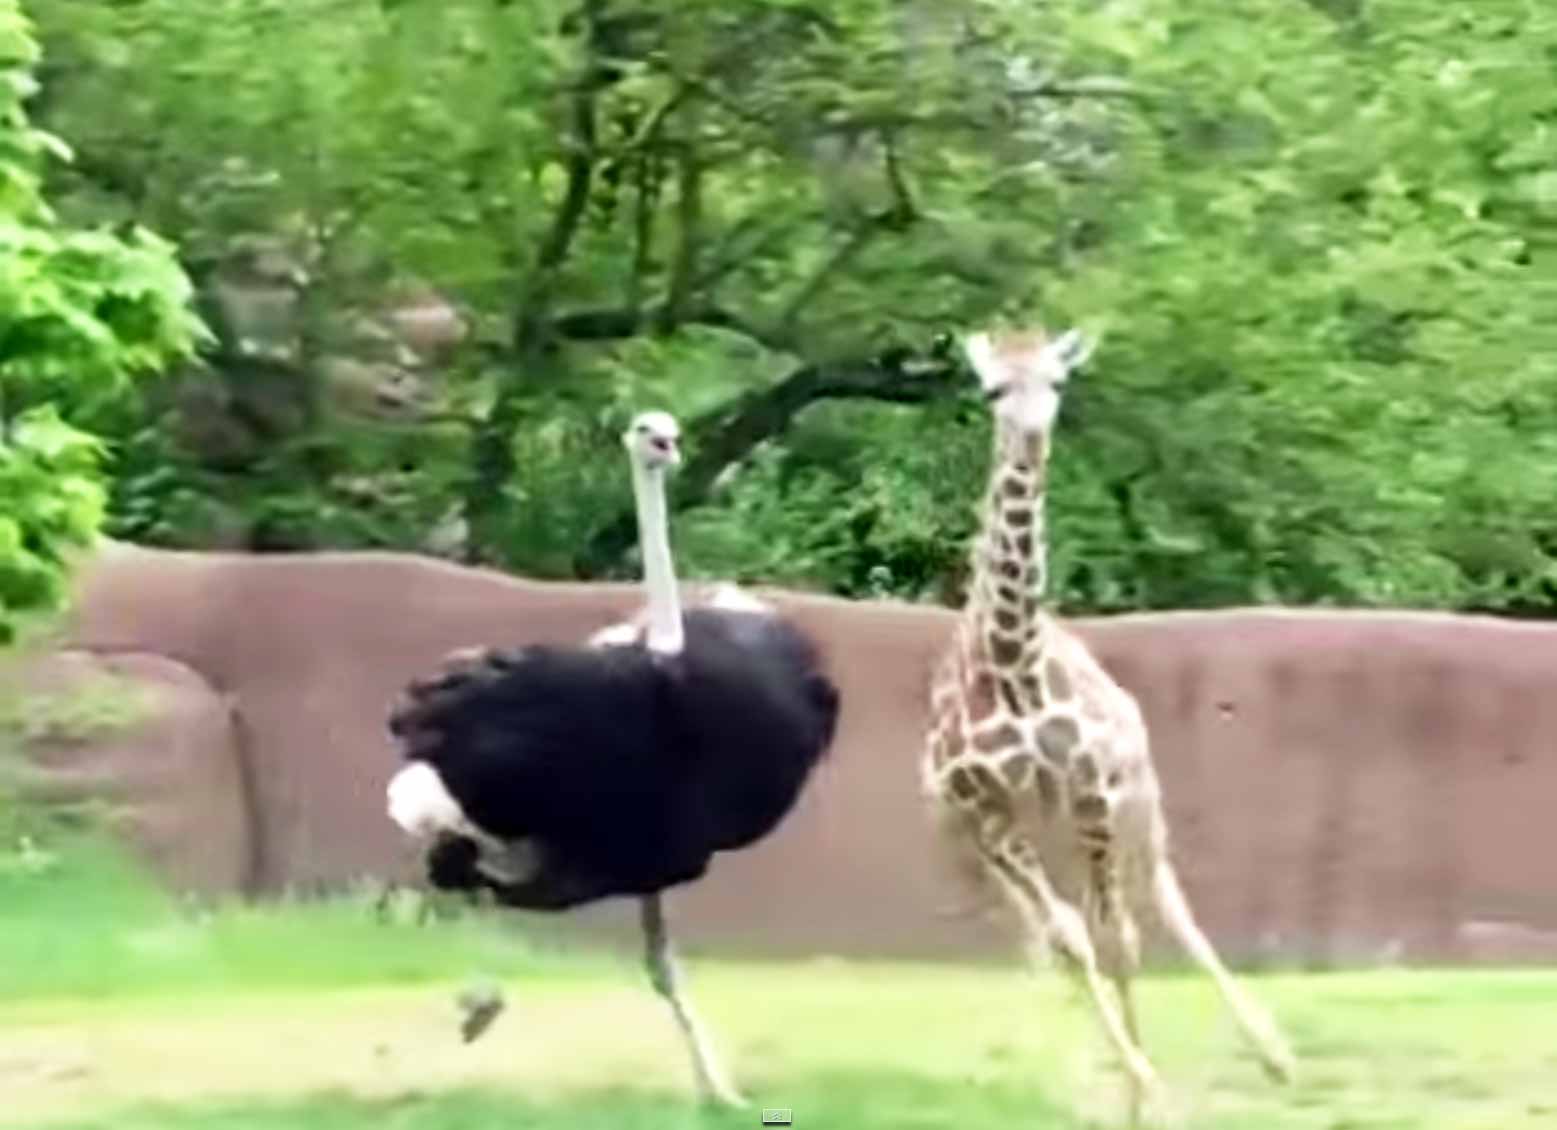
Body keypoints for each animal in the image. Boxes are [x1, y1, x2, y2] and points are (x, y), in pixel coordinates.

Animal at [921, 324, 1295, 1118]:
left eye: (1058, 382)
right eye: (993, 389)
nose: (1032, 437)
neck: (1011, 660)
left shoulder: (1094, 788)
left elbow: (1119, 936)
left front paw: (1143, 1095)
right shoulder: (986, 813)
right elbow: (1070, 940)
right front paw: (1136, 1085)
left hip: (1135, 804)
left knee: (1165, 901)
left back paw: (1272, 1053)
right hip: (1003, 836)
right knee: (1044, 933)